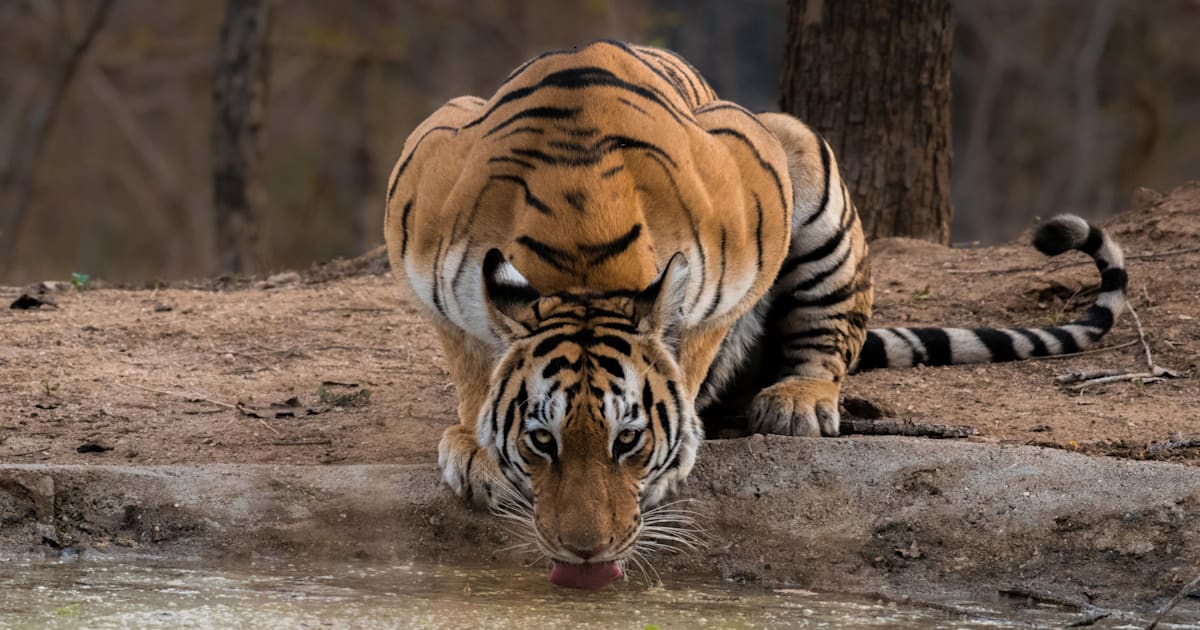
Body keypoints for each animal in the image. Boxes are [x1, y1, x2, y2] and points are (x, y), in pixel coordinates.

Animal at [383, 40, 1128, 589]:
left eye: (628, 442)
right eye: (542, 442)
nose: (586, 552)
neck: (581, 258)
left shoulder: (746, 190)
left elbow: (691, 352)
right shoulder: (422, 214)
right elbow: (467, 354)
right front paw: (478, 448)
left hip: (803, 163)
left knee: (831, 333)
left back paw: (797, 400)